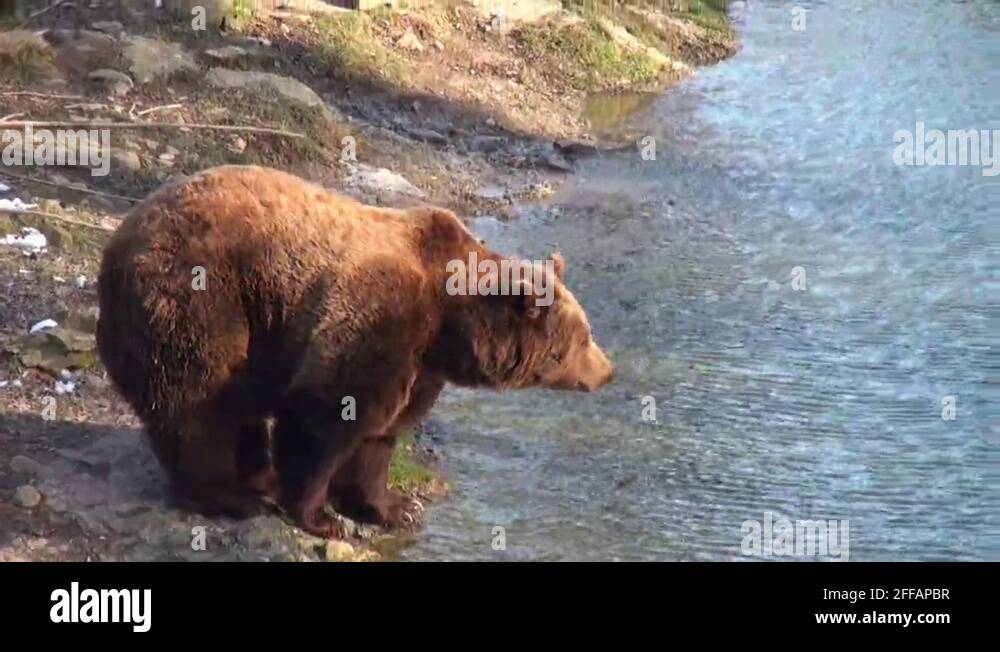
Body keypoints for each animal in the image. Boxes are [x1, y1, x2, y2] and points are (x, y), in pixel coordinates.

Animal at [96, 165, 613, 537]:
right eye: (584, 337)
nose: (608, 371)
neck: (447, 321)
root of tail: (117, 239)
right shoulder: (382, 311)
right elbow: (330, 410)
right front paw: (320, 516)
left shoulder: (420, 361)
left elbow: (380, 434)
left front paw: (394, 507)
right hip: (202, 294)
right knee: (198, 399)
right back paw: (227, 496)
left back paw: (256, 478)